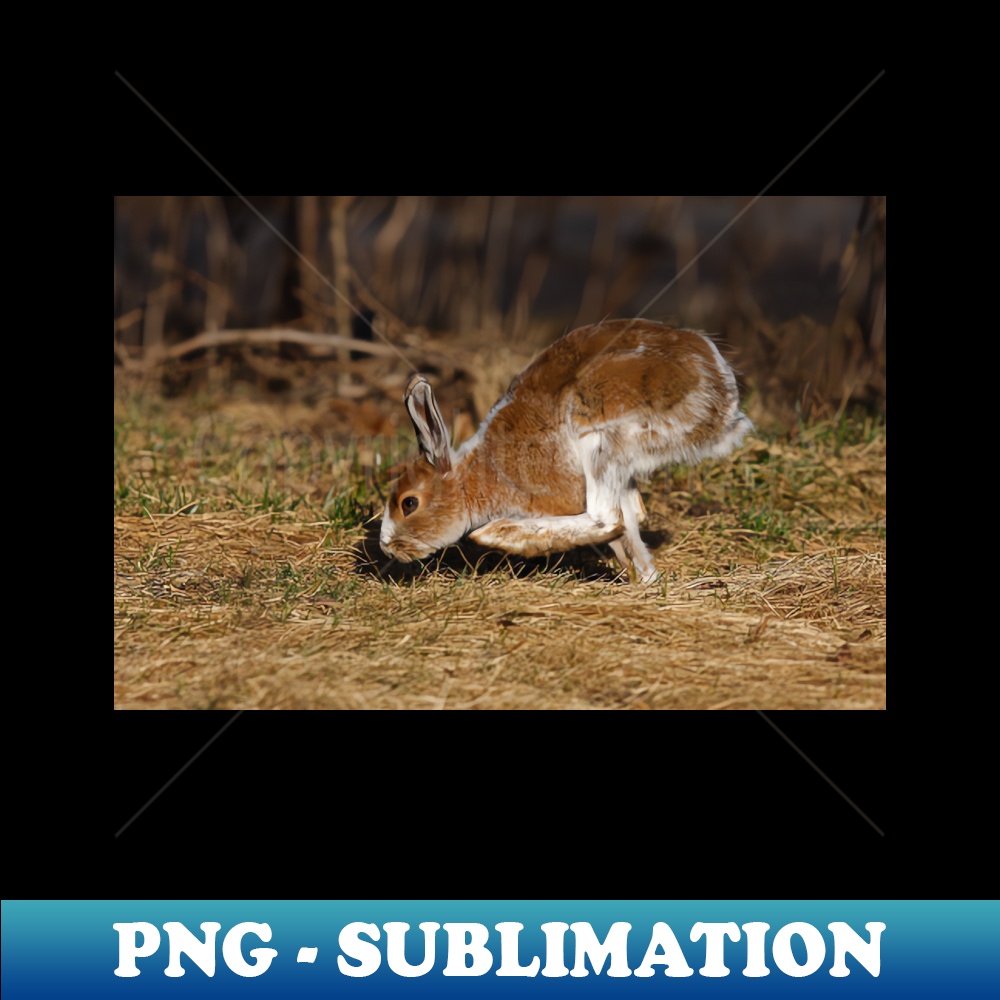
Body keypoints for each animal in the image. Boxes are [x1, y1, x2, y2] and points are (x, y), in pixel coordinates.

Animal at [379, 318, 752, 583]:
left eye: (409, 504)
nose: (386, 547)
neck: (473, 480)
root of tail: (723, 404)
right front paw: (639, 576)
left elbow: (611, 523)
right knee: (629, 514)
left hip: (600, 434)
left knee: (606, 516)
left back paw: (498, 533)